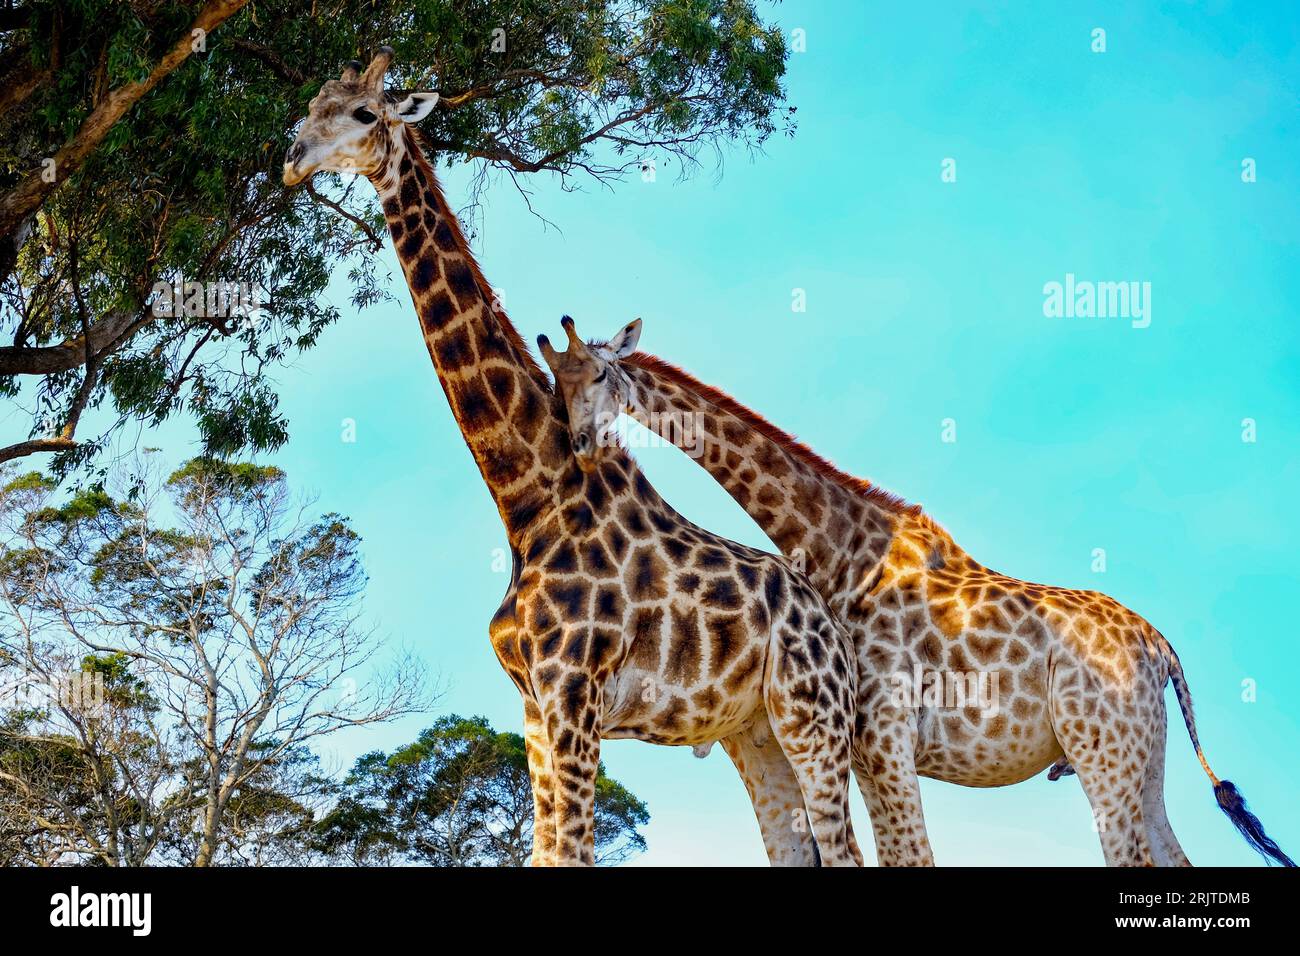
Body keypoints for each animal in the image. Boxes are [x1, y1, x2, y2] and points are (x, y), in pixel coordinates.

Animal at [282, 50, 863, 866]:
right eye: (312, 103)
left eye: (366, 114)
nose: (293, 159)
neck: (528, 497)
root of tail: (833, 629)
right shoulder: (532, 703)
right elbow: (547, 852)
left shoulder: (574, 693)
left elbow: (576, 852)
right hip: (754, 730)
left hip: (813, 716)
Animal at [545, 316, 1296, 868]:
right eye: (557, 378)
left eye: (602, 372)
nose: (578, 442)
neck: (840, 553)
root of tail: (1159, 645)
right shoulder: (867, 751)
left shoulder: (884, 739)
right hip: (1143, 761)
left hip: (1102, 754)